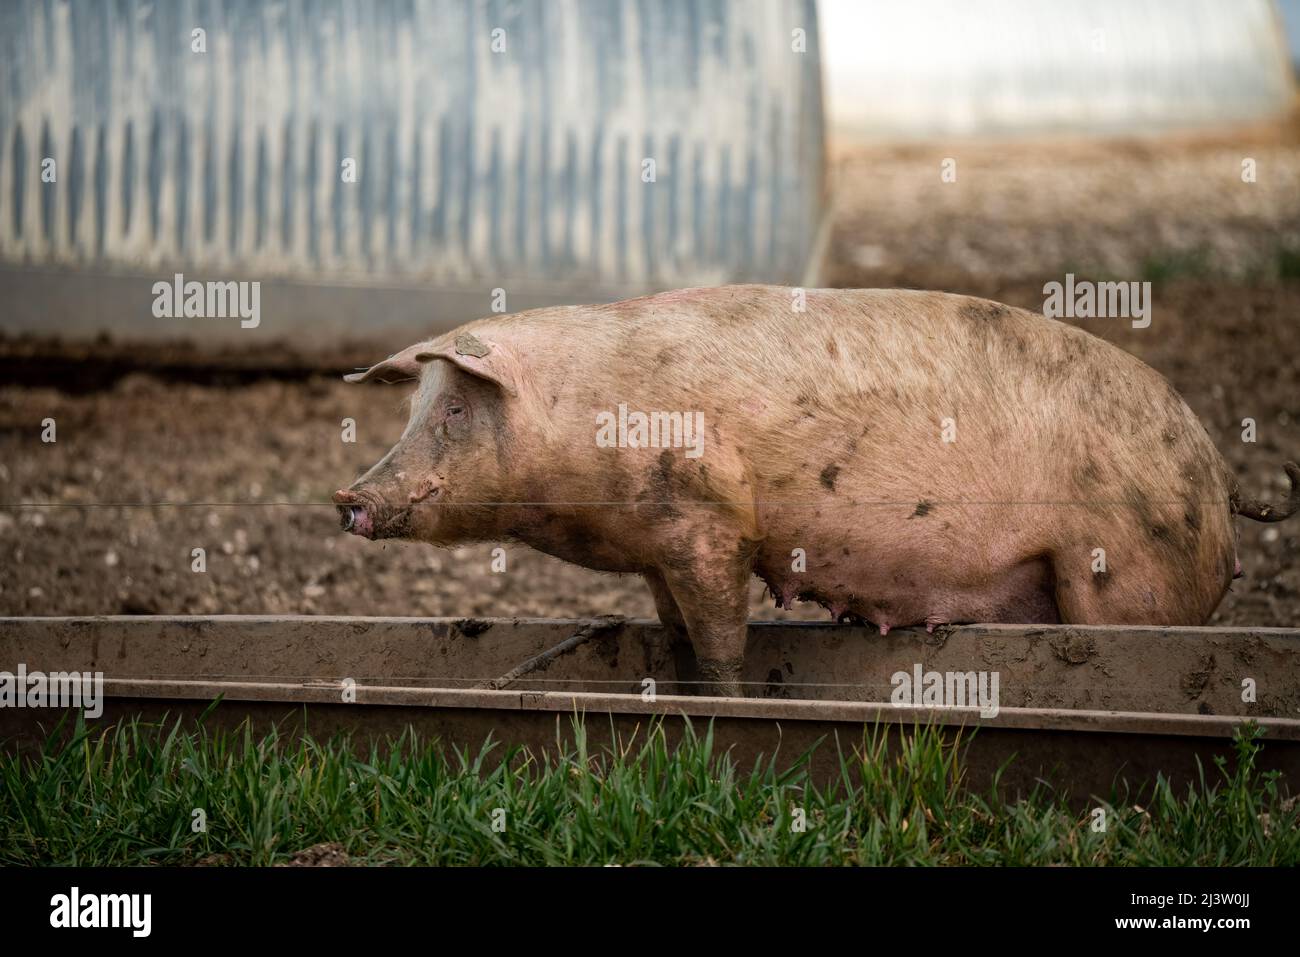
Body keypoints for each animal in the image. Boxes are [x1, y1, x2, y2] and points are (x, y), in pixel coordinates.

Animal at [334, 285, 1299, 696]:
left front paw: (724, 708)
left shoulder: (711, 521)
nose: (349, 498)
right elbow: (676, 633)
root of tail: (1223, 478)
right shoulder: (658, 552)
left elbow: (724, 642)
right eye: (414, 406)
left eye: (456, 406)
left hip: (1128, 577)